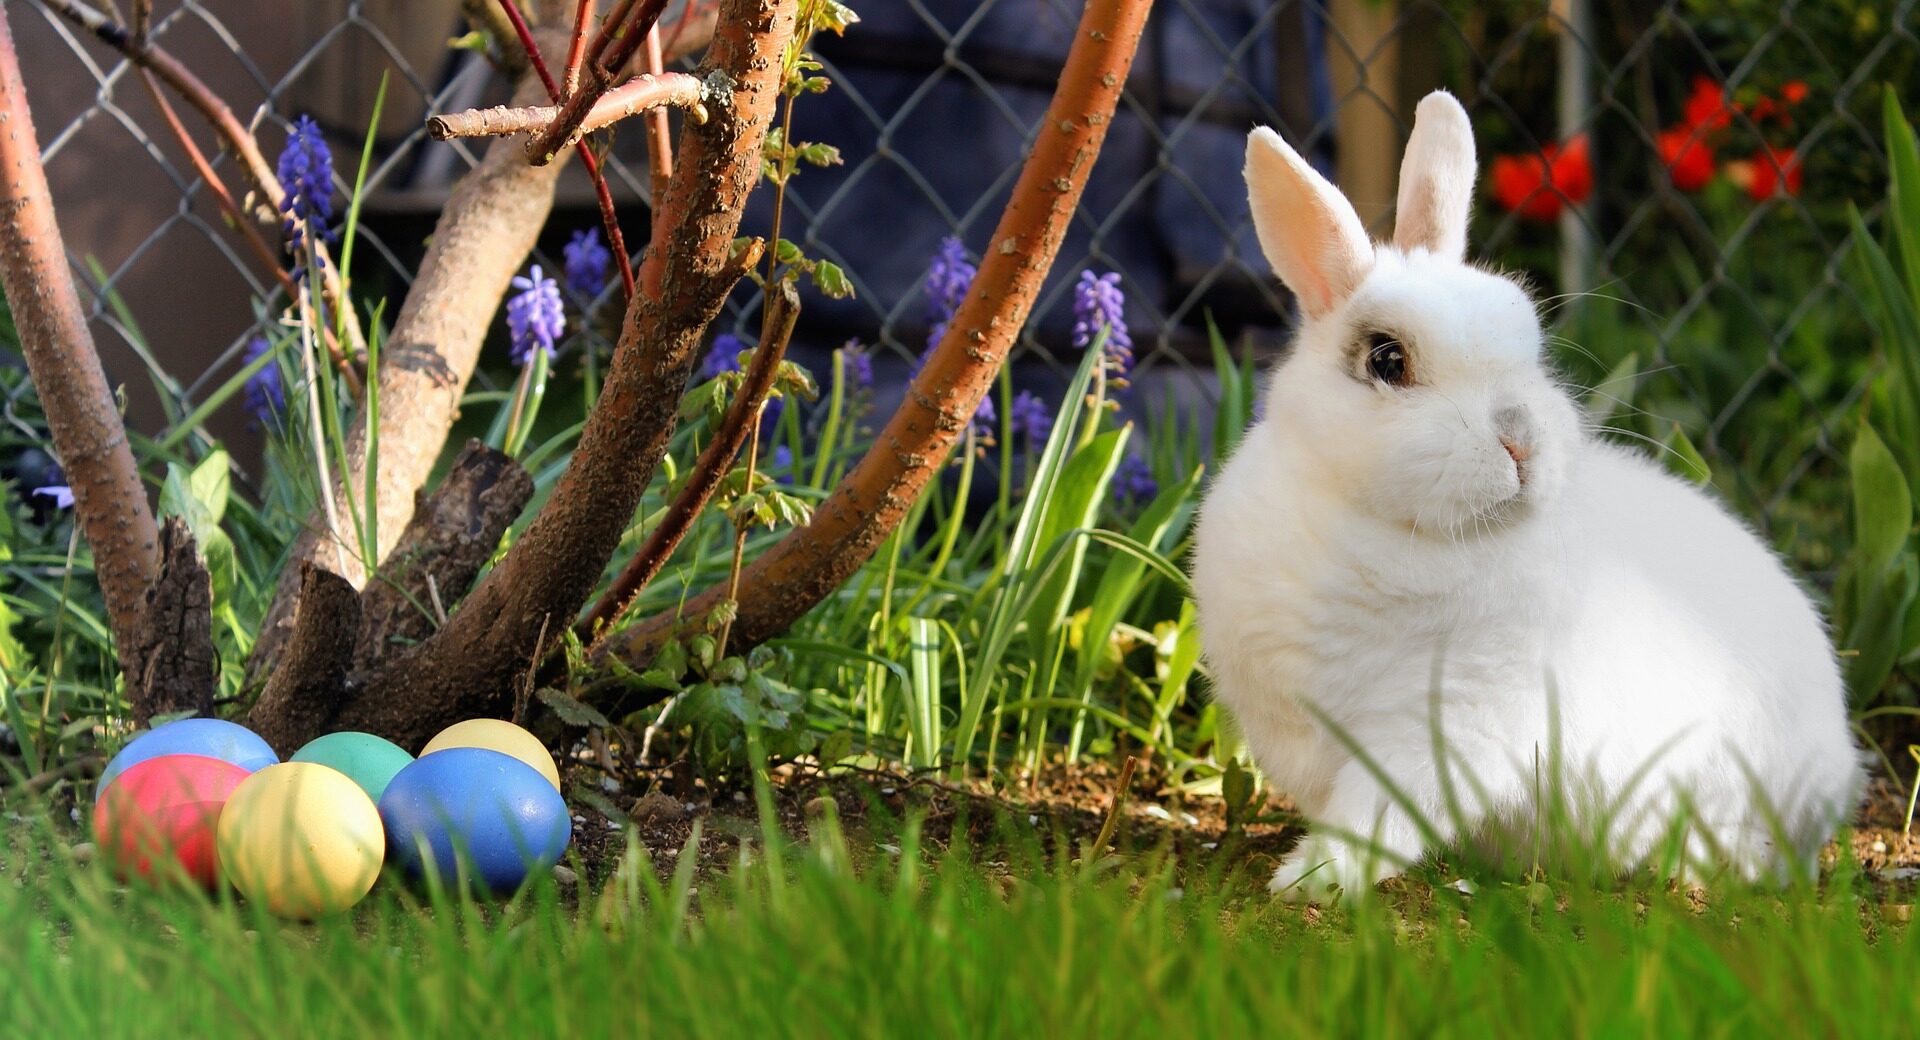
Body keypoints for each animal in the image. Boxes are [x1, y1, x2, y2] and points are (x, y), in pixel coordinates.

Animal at [1191, 90, 1866, 901]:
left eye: (1530, 344)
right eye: (1387, 359)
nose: (1521, 442)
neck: (1384, 529)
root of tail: (1839, 774)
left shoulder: (1445, 726)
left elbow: (1376, 814)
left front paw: (1310, 881)